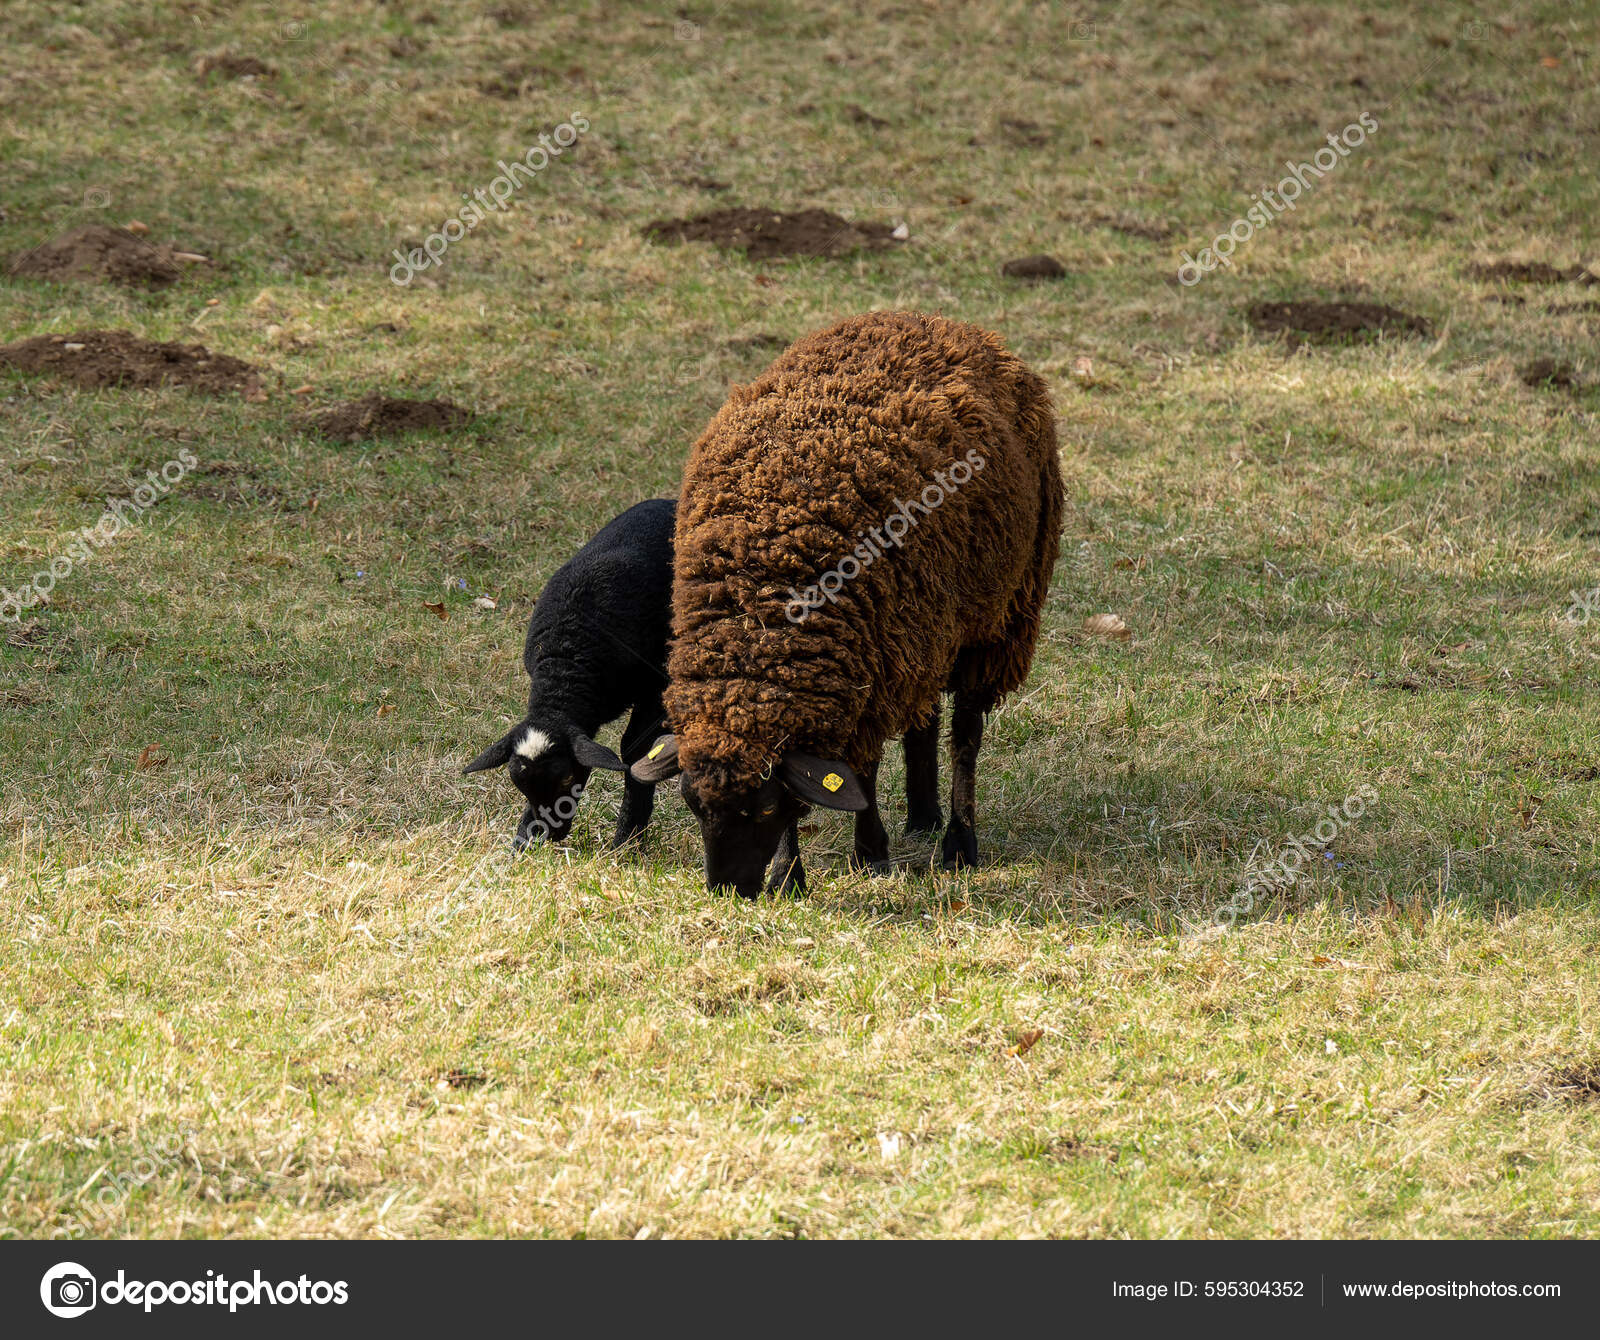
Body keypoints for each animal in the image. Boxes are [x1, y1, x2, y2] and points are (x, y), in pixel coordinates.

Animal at [464, 498, 676, 850]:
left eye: (567, 777)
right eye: (520, 785)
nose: (548, 835)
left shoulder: (655, 688)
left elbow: (634, 752)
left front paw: (627, 838)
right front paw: (524, 836)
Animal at [632, 311, 1063, 897]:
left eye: (763, 811)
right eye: (694, 807)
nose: (729, 890)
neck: (759, 611)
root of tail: (938, 321)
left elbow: (861, 769)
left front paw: (869, 854)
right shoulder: (877, 656)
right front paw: (789, 875)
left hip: (998, 617)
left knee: (966, 734)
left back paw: (958, 841)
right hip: (921, 630)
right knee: (924, 715)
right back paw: (923, 816)